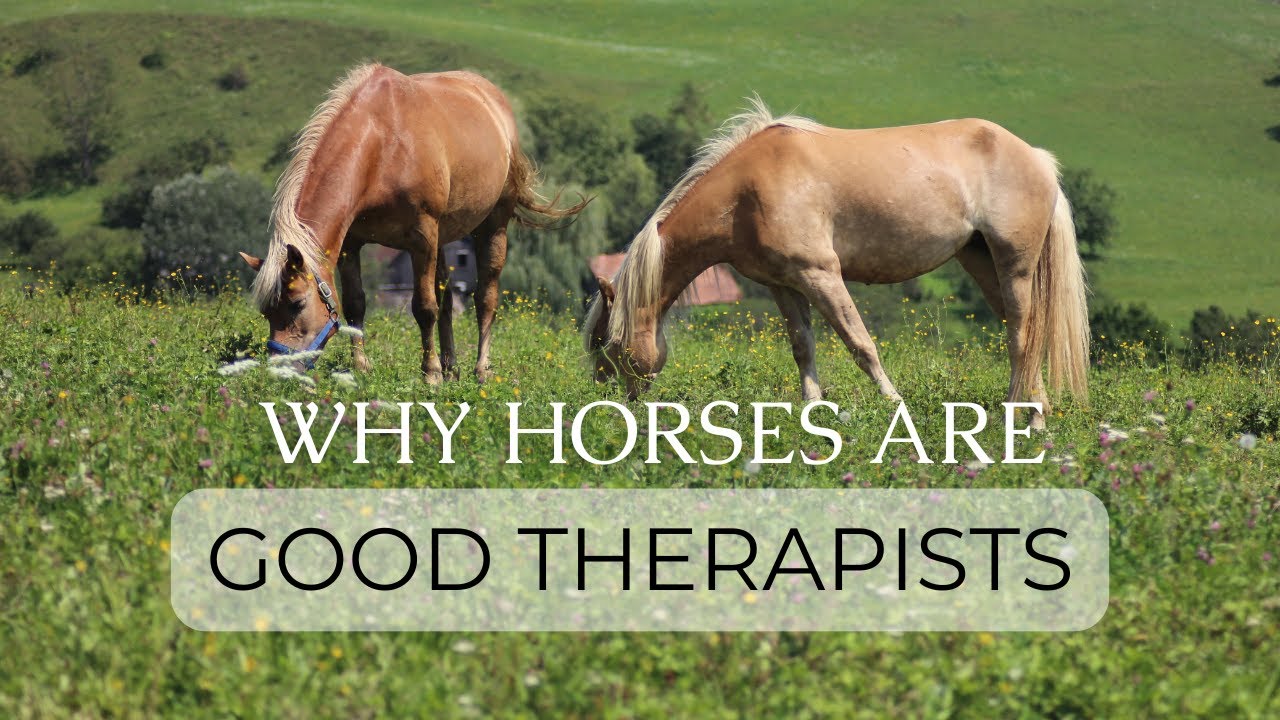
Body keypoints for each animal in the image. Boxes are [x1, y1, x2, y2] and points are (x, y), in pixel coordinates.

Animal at [240, 63, 586, 382]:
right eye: (266, 311)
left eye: (297, 304)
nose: (279, 372)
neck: (381, 144)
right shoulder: (352, 242)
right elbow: (355, 304)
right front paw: (362, 367)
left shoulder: (422, 236)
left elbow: (424, 307)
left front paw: (430, 373)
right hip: (443, 237)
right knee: (447, 300)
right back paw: (451, 368)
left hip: (491, 226)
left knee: (485, 298)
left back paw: (480, 370)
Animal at [585, 98, 1088, 429]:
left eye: (610, 347)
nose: (613, 405)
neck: (747, 193)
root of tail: (1037, 158)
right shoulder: (783, 285)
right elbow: (802, 347)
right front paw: (812, 414)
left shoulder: (821, 275)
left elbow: (860, 344)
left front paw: (894, 406)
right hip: (982, 262)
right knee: (1025, 333)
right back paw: (1037, 412)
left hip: (1014, 263)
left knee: (1022, 337)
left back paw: (1019, 421)